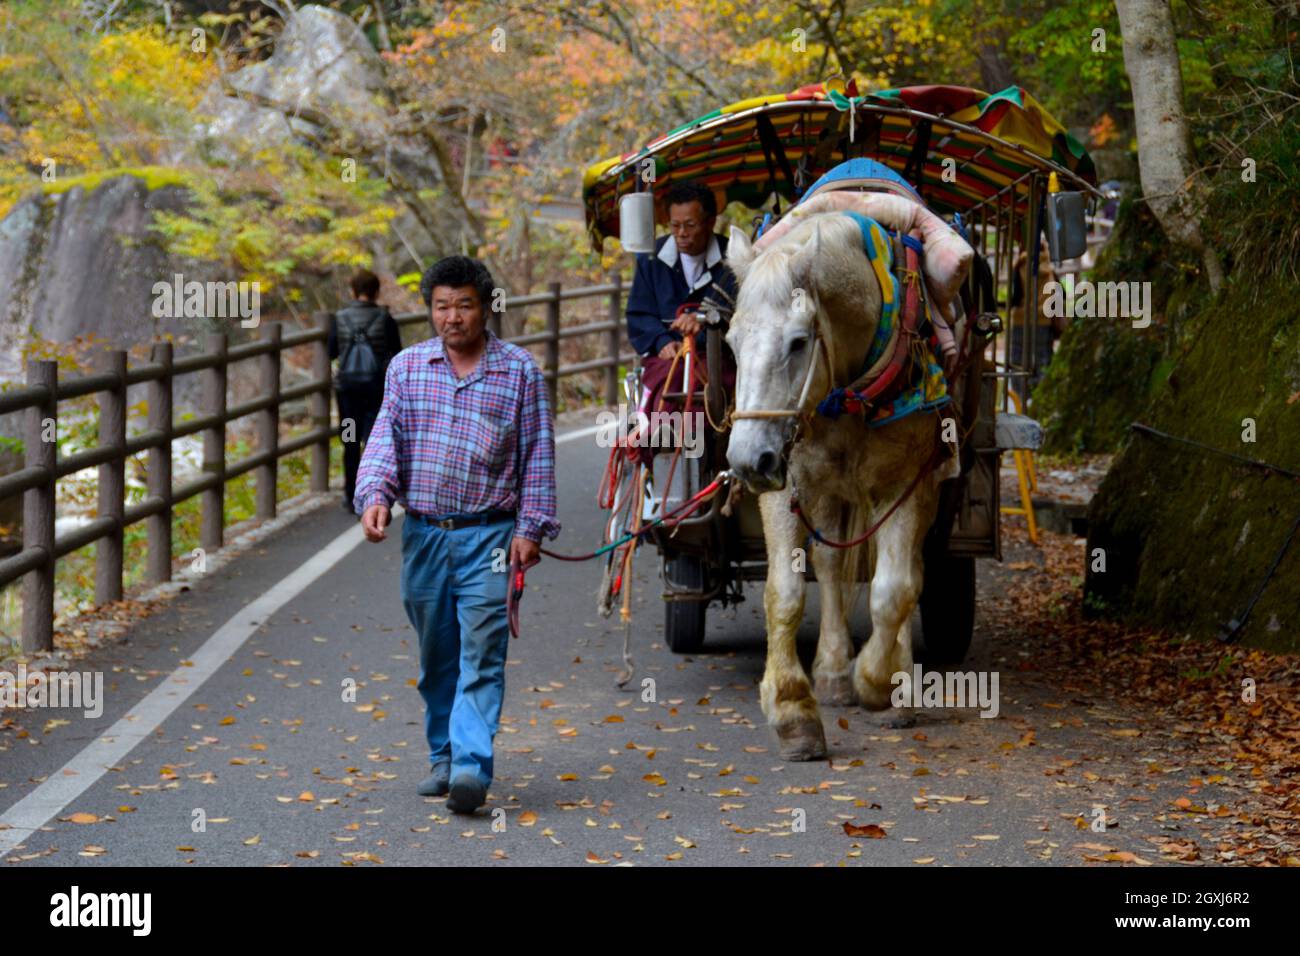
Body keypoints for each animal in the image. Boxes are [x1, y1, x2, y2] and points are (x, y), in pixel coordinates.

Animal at [723, 210, 964, 761]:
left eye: (797, 341)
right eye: (731, 343)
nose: (745, 461)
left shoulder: (907, 484)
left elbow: (893, 591)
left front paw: (878, 681)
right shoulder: (785, 480)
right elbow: (786, 592)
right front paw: (793, 708)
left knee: (911, 571)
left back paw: (896, 680)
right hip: (827, 489)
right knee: (830, 564)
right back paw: (832, 670)